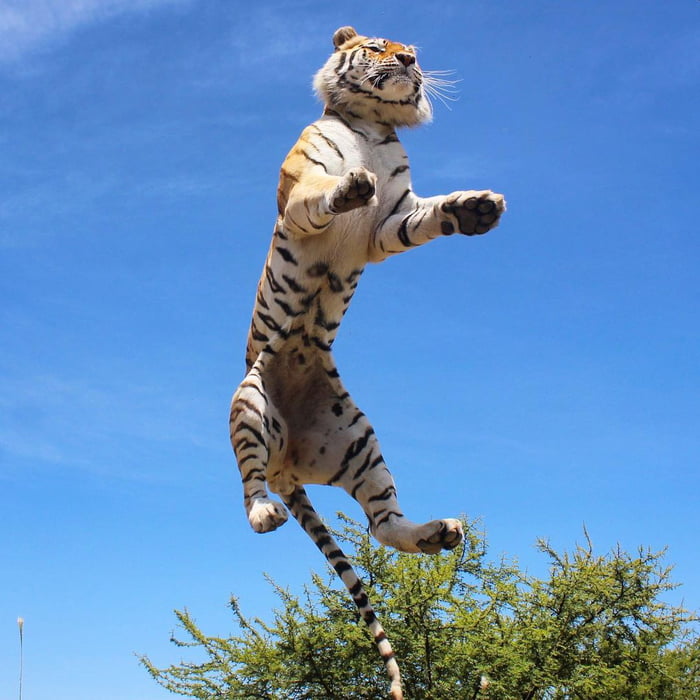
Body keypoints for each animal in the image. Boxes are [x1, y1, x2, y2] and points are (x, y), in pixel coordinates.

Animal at [229, 25, 505, 699]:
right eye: (380, 46)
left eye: (415, 50)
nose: (408, 61)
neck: (375, 126)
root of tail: (288, 467)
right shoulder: (299, 192)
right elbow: (323, 195)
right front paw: (352, 185)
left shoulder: (393, 223)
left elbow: (429, 215)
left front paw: (475, 209)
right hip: (250, 403)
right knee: (250, 486)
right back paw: (264, 510)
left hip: (357, 441)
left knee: (383, 525)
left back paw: (438, 531)